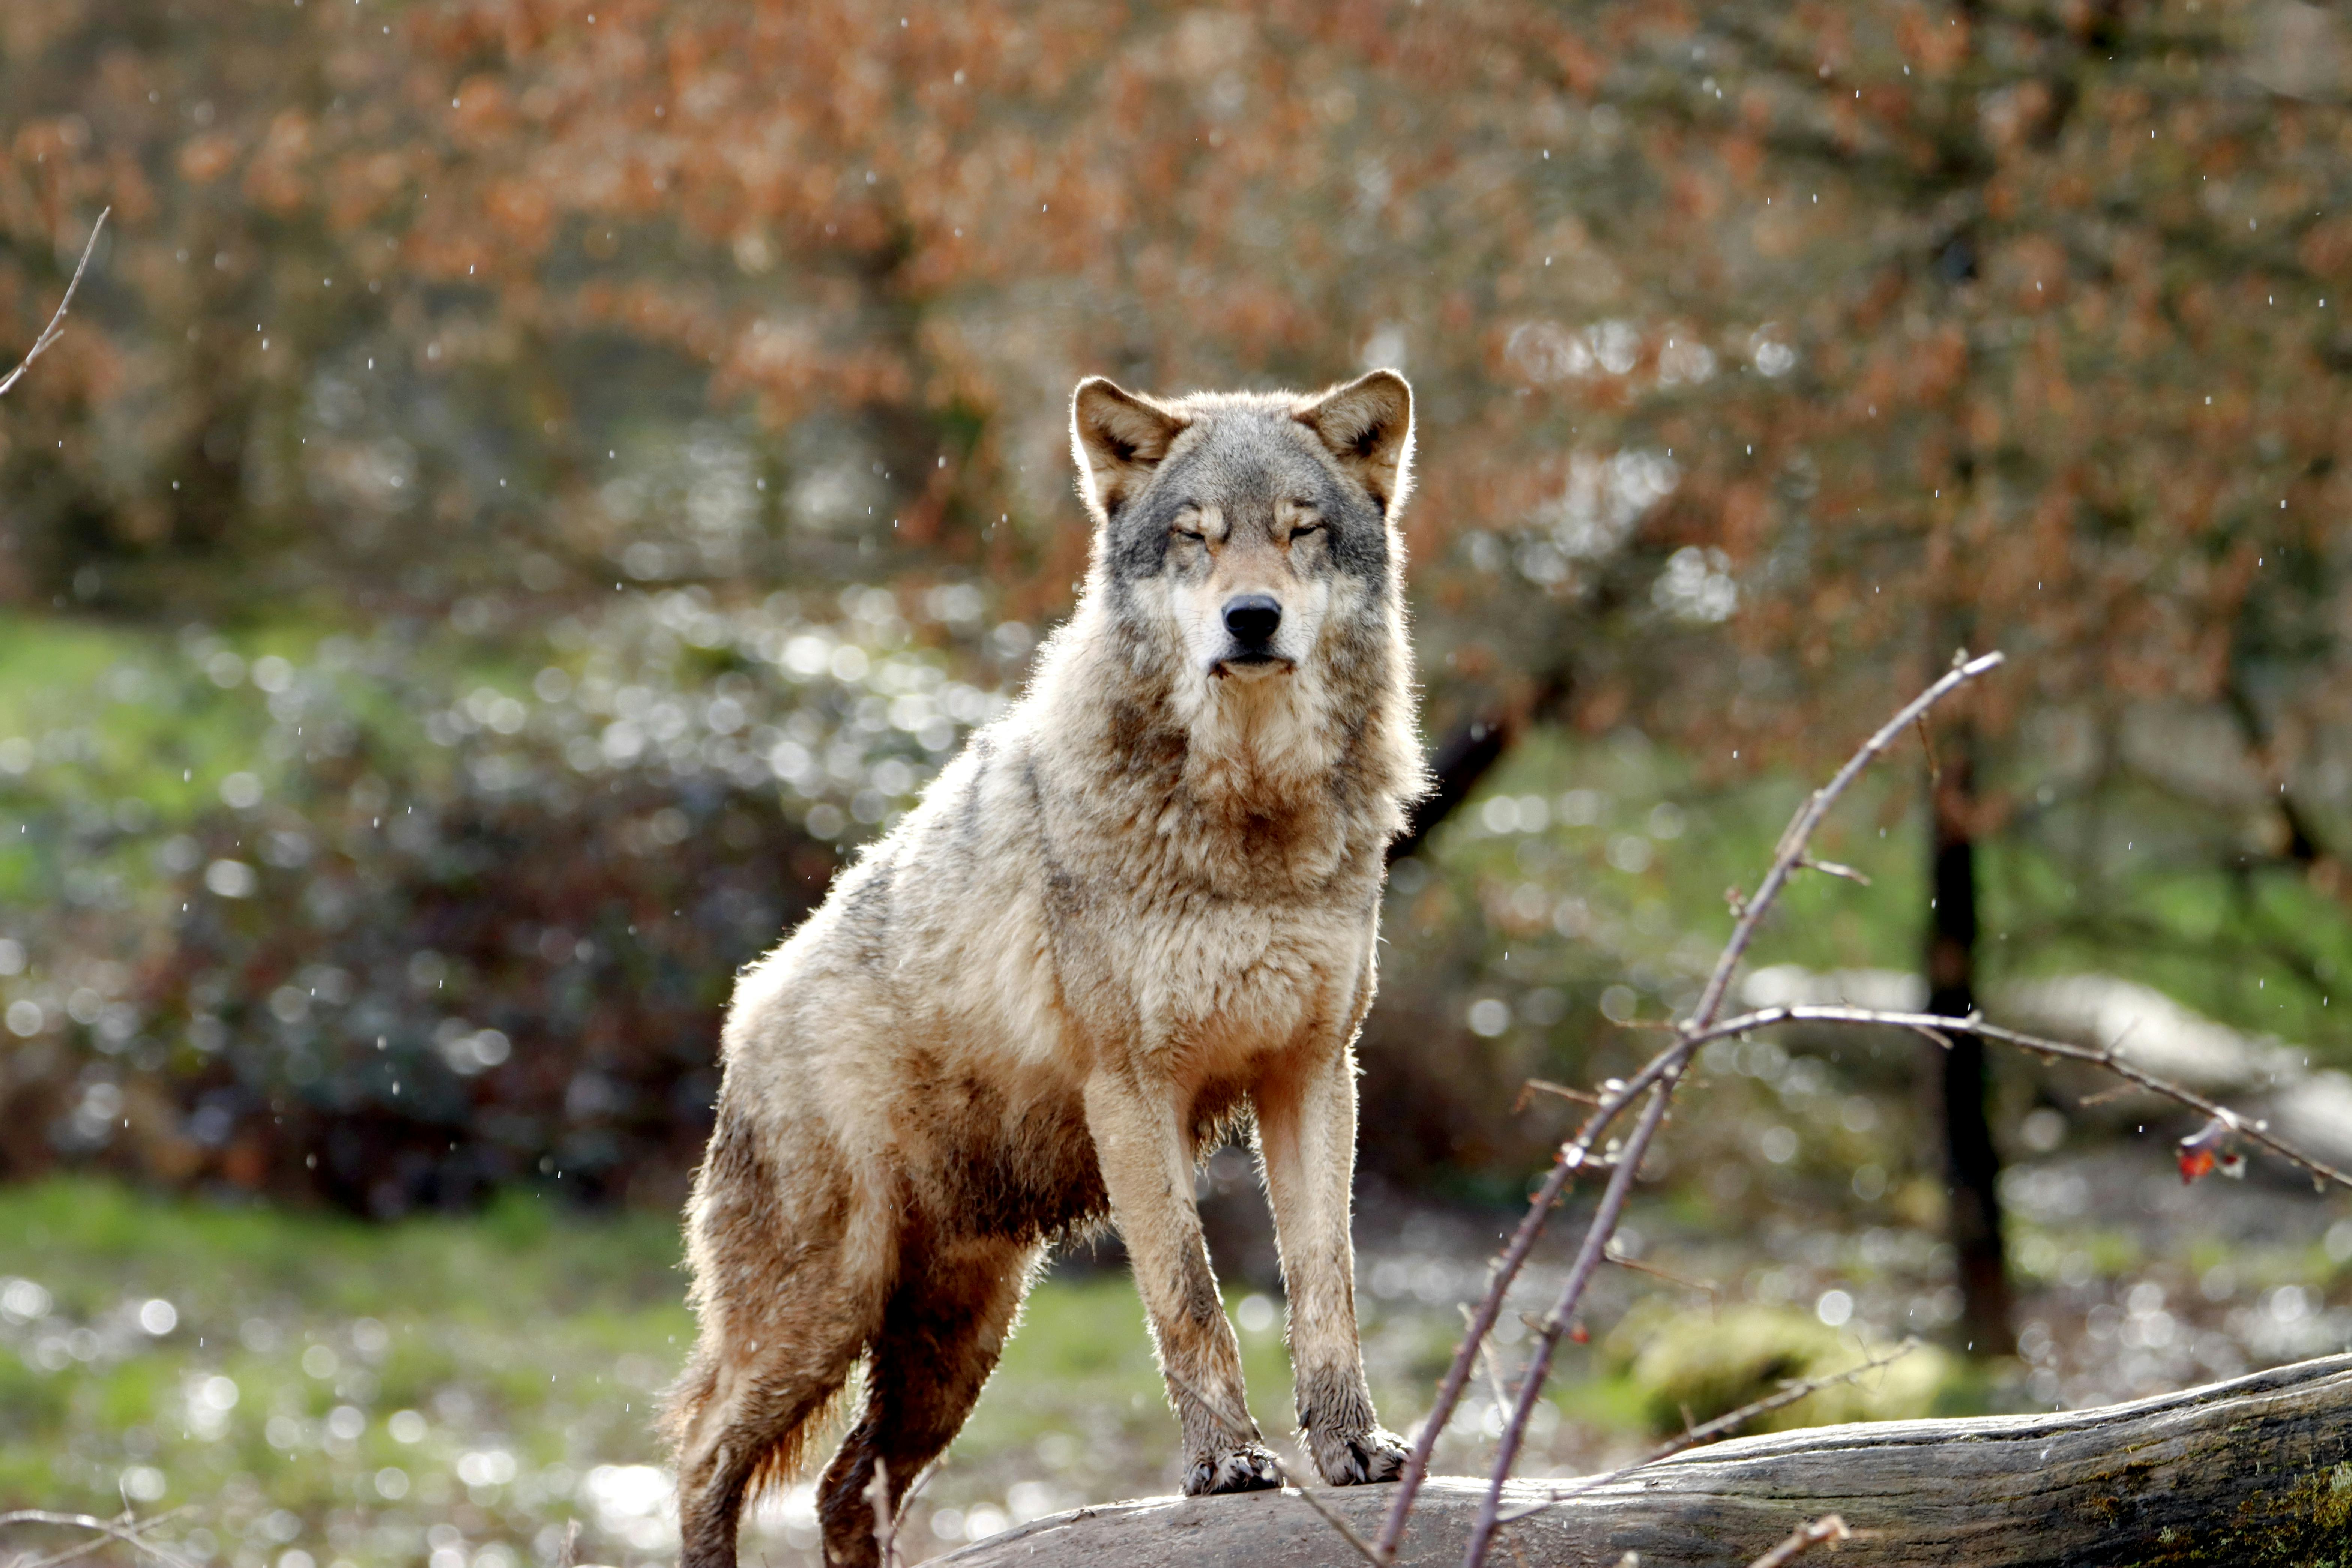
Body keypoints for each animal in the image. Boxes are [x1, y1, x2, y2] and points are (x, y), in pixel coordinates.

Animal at [660, 370, 1426, 1568]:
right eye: (1194, 537)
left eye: (1301, 531)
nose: (1250, 618)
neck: (1249, 823)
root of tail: (748, 1007)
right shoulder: (1132, 1090)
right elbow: (1189, 1295)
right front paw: (1225, 1465)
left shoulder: (1312, 1073)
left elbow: (1323, 1282)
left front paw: (1352, 1449)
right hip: (823, 1314)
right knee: (701, 1453)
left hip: (953, 1345)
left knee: (844, 1488)